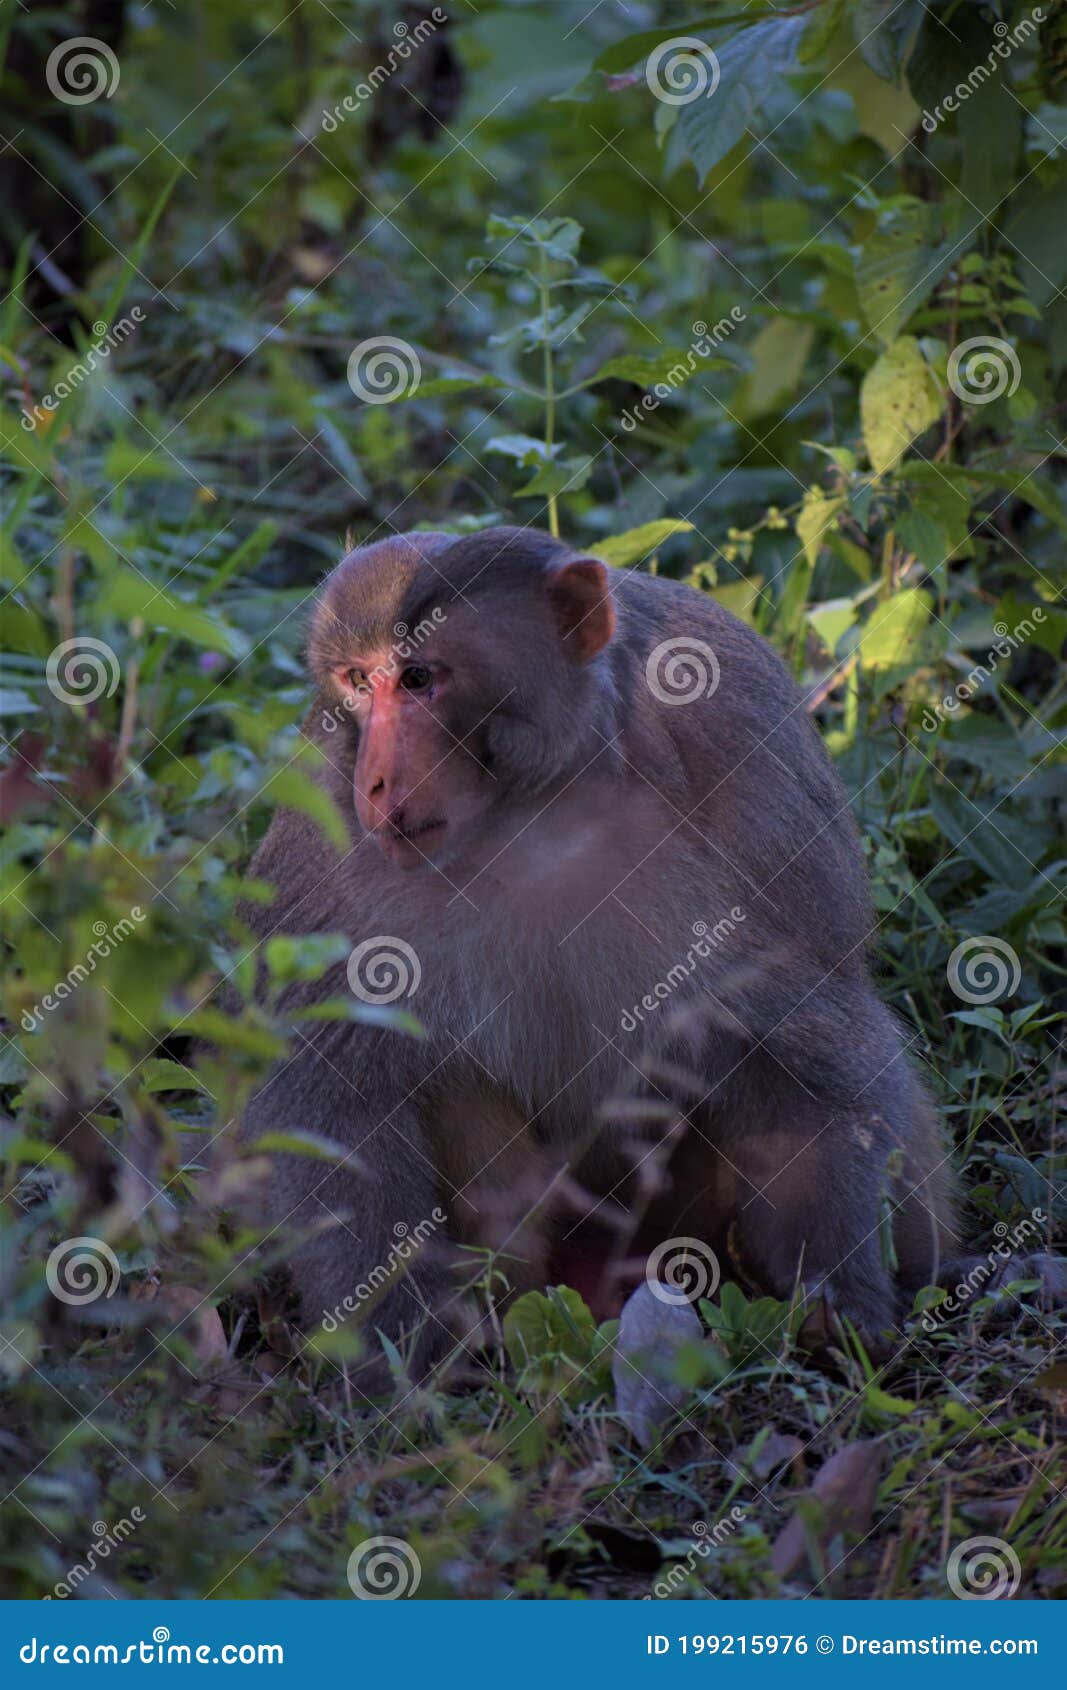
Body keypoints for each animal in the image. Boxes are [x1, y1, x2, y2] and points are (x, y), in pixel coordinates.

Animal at [236, 524, 992, 1386]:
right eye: (358, 681)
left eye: (421, 677)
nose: (377, 782)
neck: (530, 807)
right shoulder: (322, 820)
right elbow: (327, 1086)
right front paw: (401, 1349)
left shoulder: (742, 752)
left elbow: (809, 1042)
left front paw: (842, 1293)